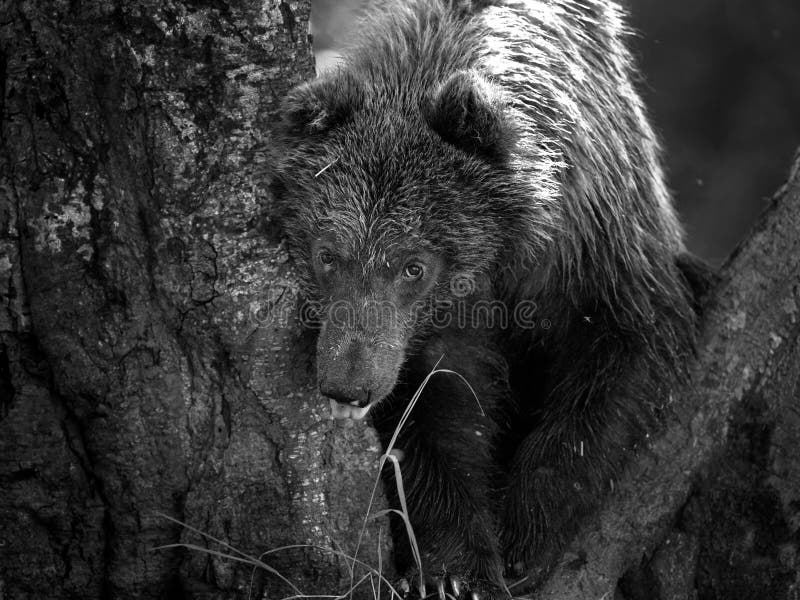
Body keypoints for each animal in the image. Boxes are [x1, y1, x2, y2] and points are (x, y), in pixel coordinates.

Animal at [269, 0, 698, 597]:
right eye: (327, 254)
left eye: (413, 265)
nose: (347, 385)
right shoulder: (429, 329)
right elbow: (434, 412)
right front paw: (456, 573)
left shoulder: (596, 244)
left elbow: (621, 362)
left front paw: (527, 532)